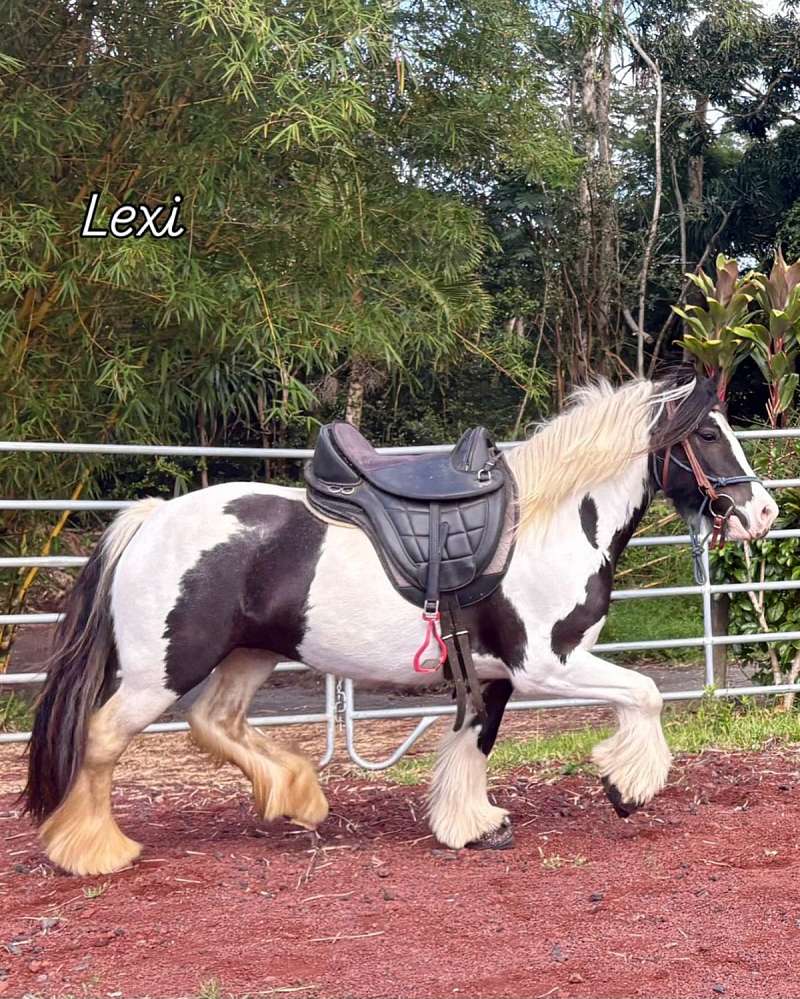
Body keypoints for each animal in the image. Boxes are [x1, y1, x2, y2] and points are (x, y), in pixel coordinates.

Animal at [23, 371, 779, 875]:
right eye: (707, 433)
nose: (764, 512)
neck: (551, 524)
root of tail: (152, 520)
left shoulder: (492, 675)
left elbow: (474, 743)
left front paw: (472, 825)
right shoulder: (547, 663)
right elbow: (645, 695)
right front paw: (626, 787)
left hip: (249, 653)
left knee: (217, 722)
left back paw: (300, 796)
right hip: (164, 668)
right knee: (104, 736)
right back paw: (93, 849)